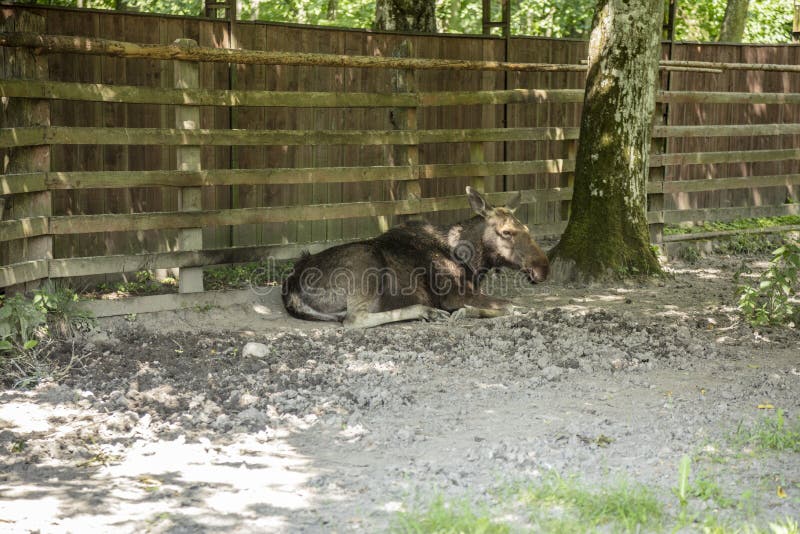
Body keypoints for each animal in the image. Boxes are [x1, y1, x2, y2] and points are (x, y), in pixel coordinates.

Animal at [282, 186, 549, 329]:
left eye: (526, 227)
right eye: (507, 232)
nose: (543, 267)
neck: (473, 263)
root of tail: (291, 288)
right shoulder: (453, 295)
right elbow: (511, 306)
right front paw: (463, 313)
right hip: (366, 266)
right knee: (354, 319)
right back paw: (427, 311)